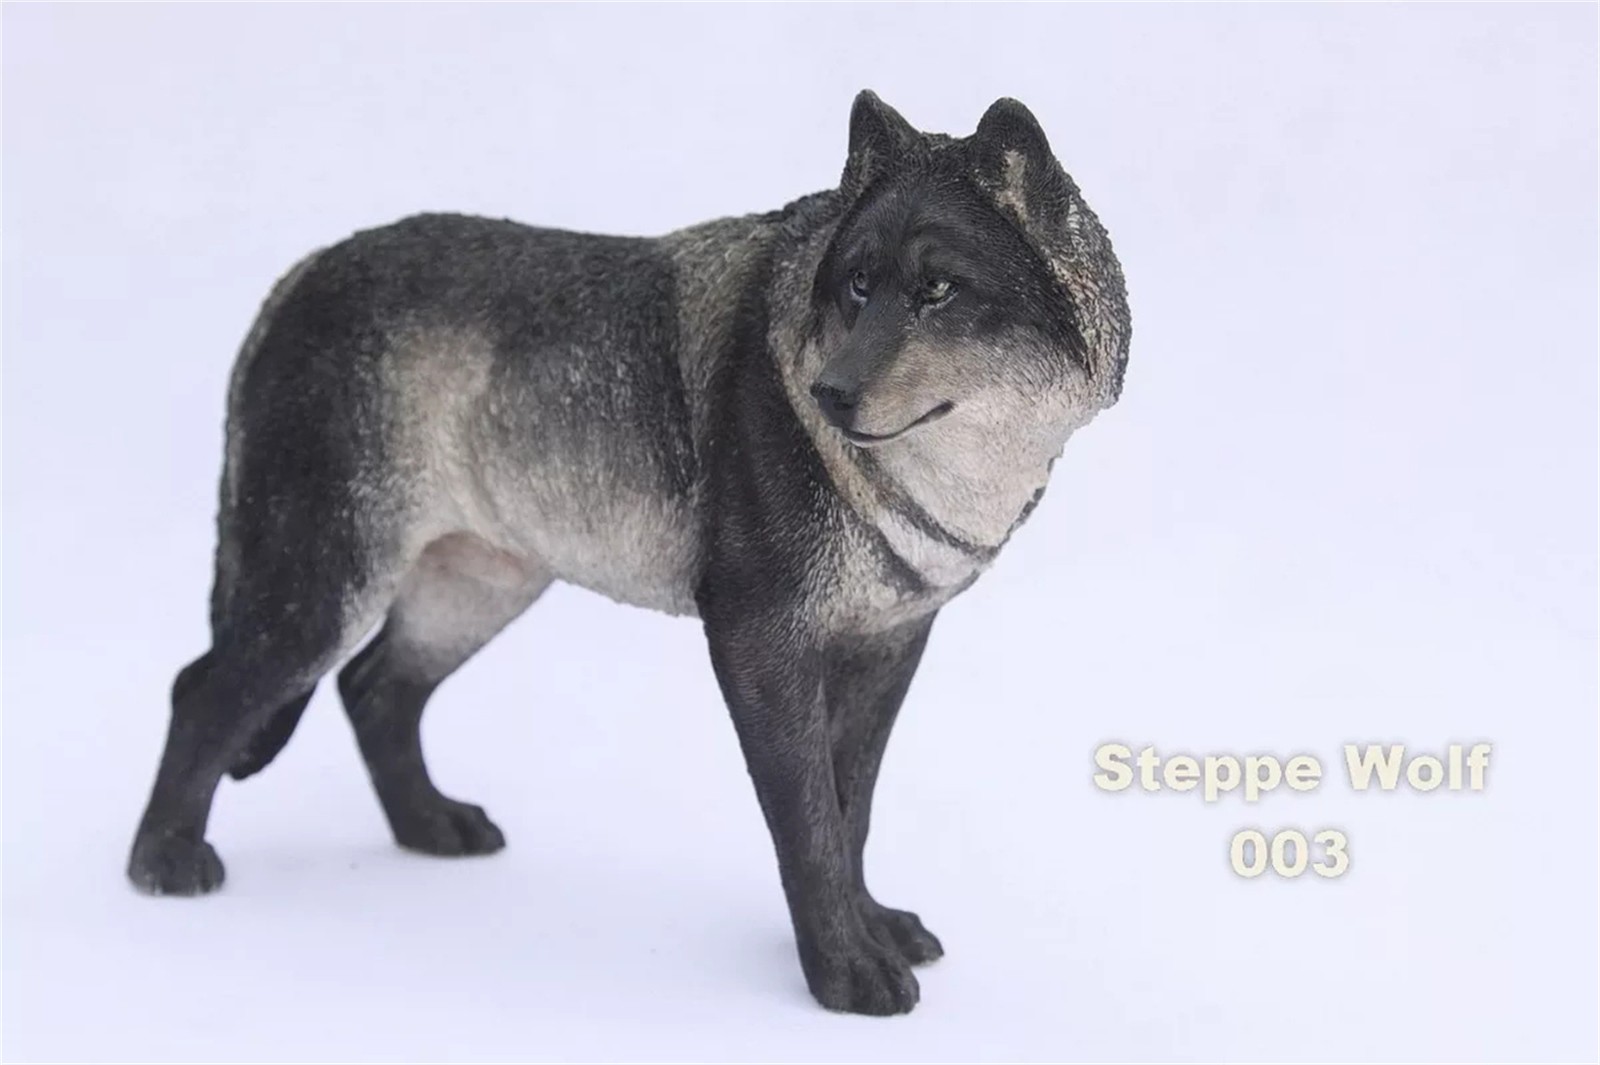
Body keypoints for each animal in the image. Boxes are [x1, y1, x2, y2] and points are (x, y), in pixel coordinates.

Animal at [127, 91, 1130, 1015]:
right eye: (856, 285)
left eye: (939, 290)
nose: (828, 393)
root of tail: (296, 277)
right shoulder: (759, 647)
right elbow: (808, 826)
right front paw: (844, 972)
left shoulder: (888, 649)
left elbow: (853, 813)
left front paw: (870, 926)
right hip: (326, 593)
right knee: (204, 687)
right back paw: (164, 861)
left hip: (478, 590)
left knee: (372, 688)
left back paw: (430, 829)